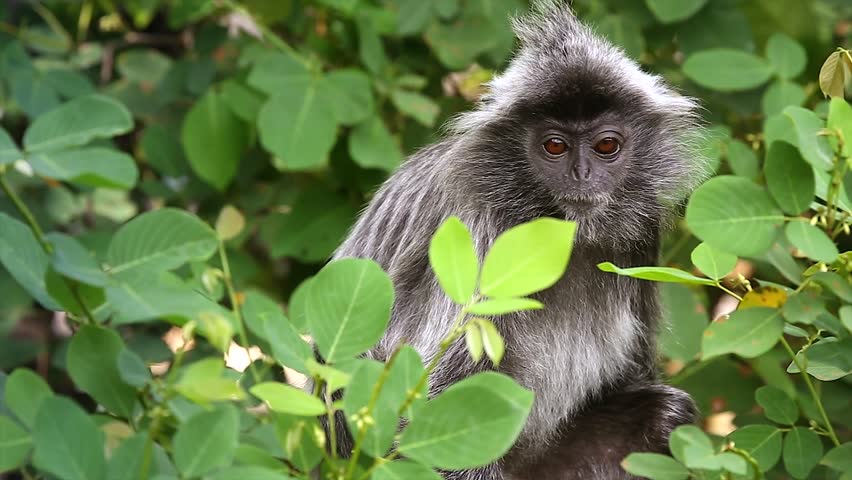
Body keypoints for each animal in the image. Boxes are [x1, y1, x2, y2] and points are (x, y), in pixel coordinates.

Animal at [330, 2, 707, 478]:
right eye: (554, 146)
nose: (581, 175)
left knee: (668, 411)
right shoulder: (475, 228)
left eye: (606, 145)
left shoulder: (641, 233)